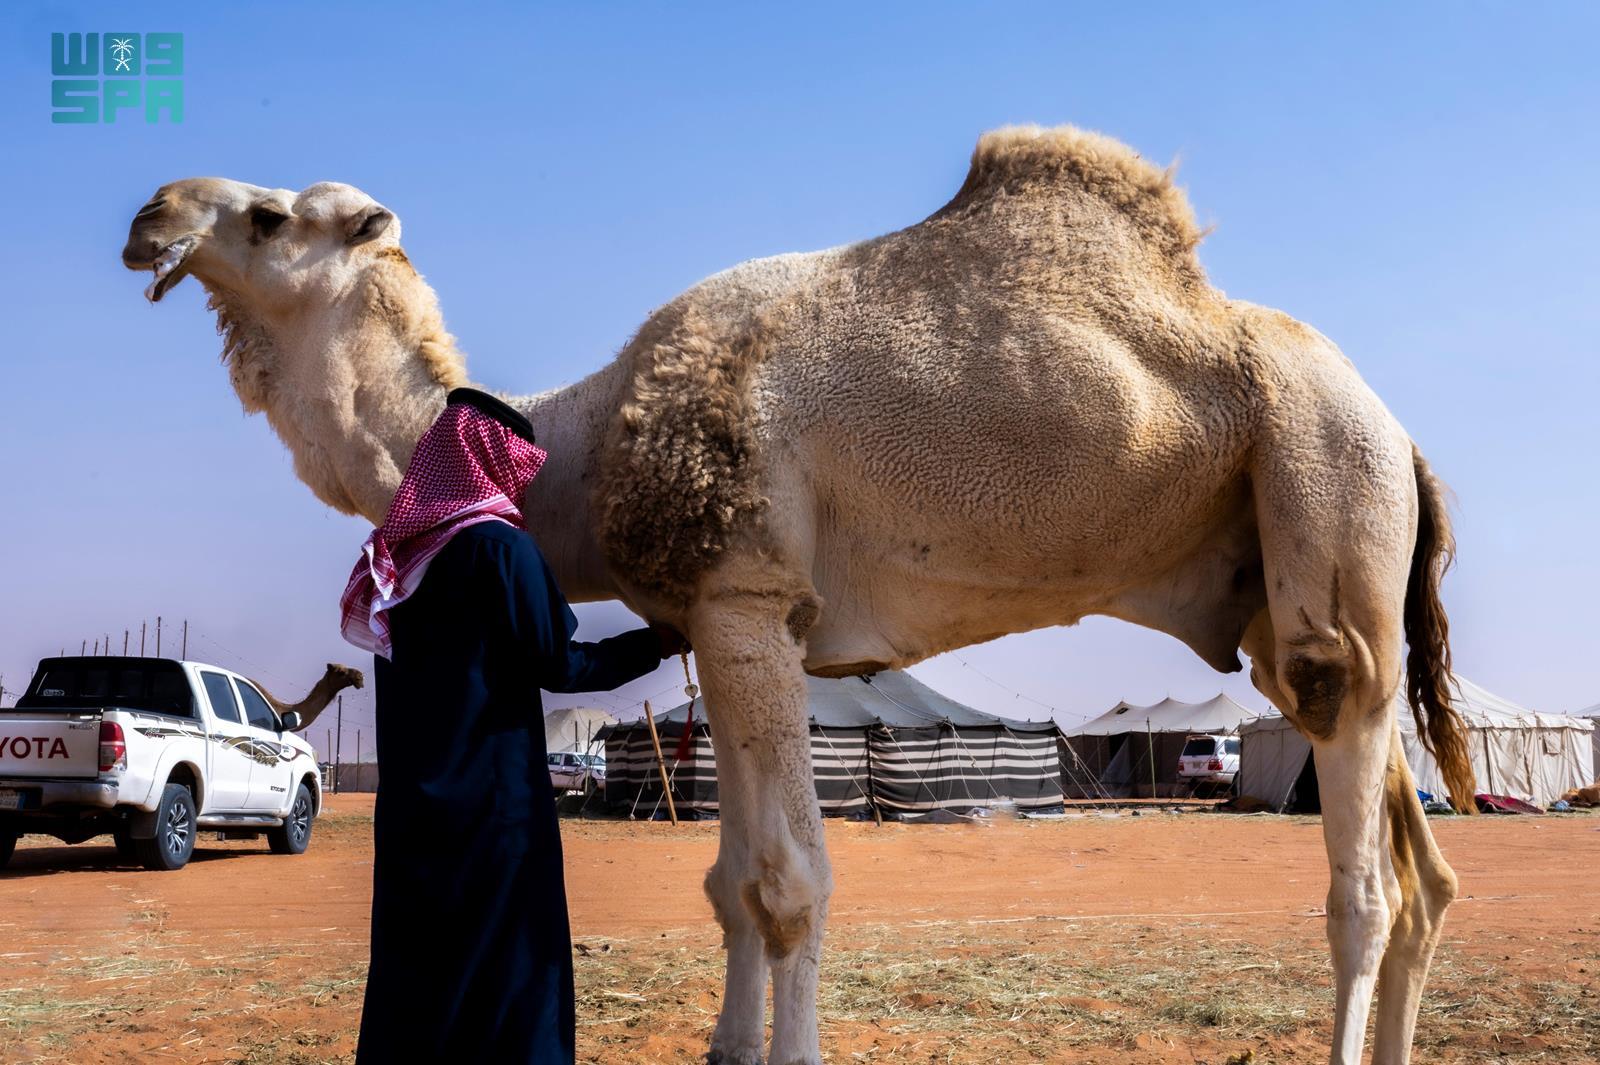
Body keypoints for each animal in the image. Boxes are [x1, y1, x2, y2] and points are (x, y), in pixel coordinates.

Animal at [122, 125, 1476, 1065]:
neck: (583, 447)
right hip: (1287, 583)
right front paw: (729, 1046)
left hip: (1326, 482)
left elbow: (789, 884)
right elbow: (730, 880)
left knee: (1360, 878)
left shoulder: (748, 596)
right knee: (1417, 870)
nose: (149, 212)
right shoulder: (730, 622)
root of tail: (1405, 436)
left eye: (267, 217)